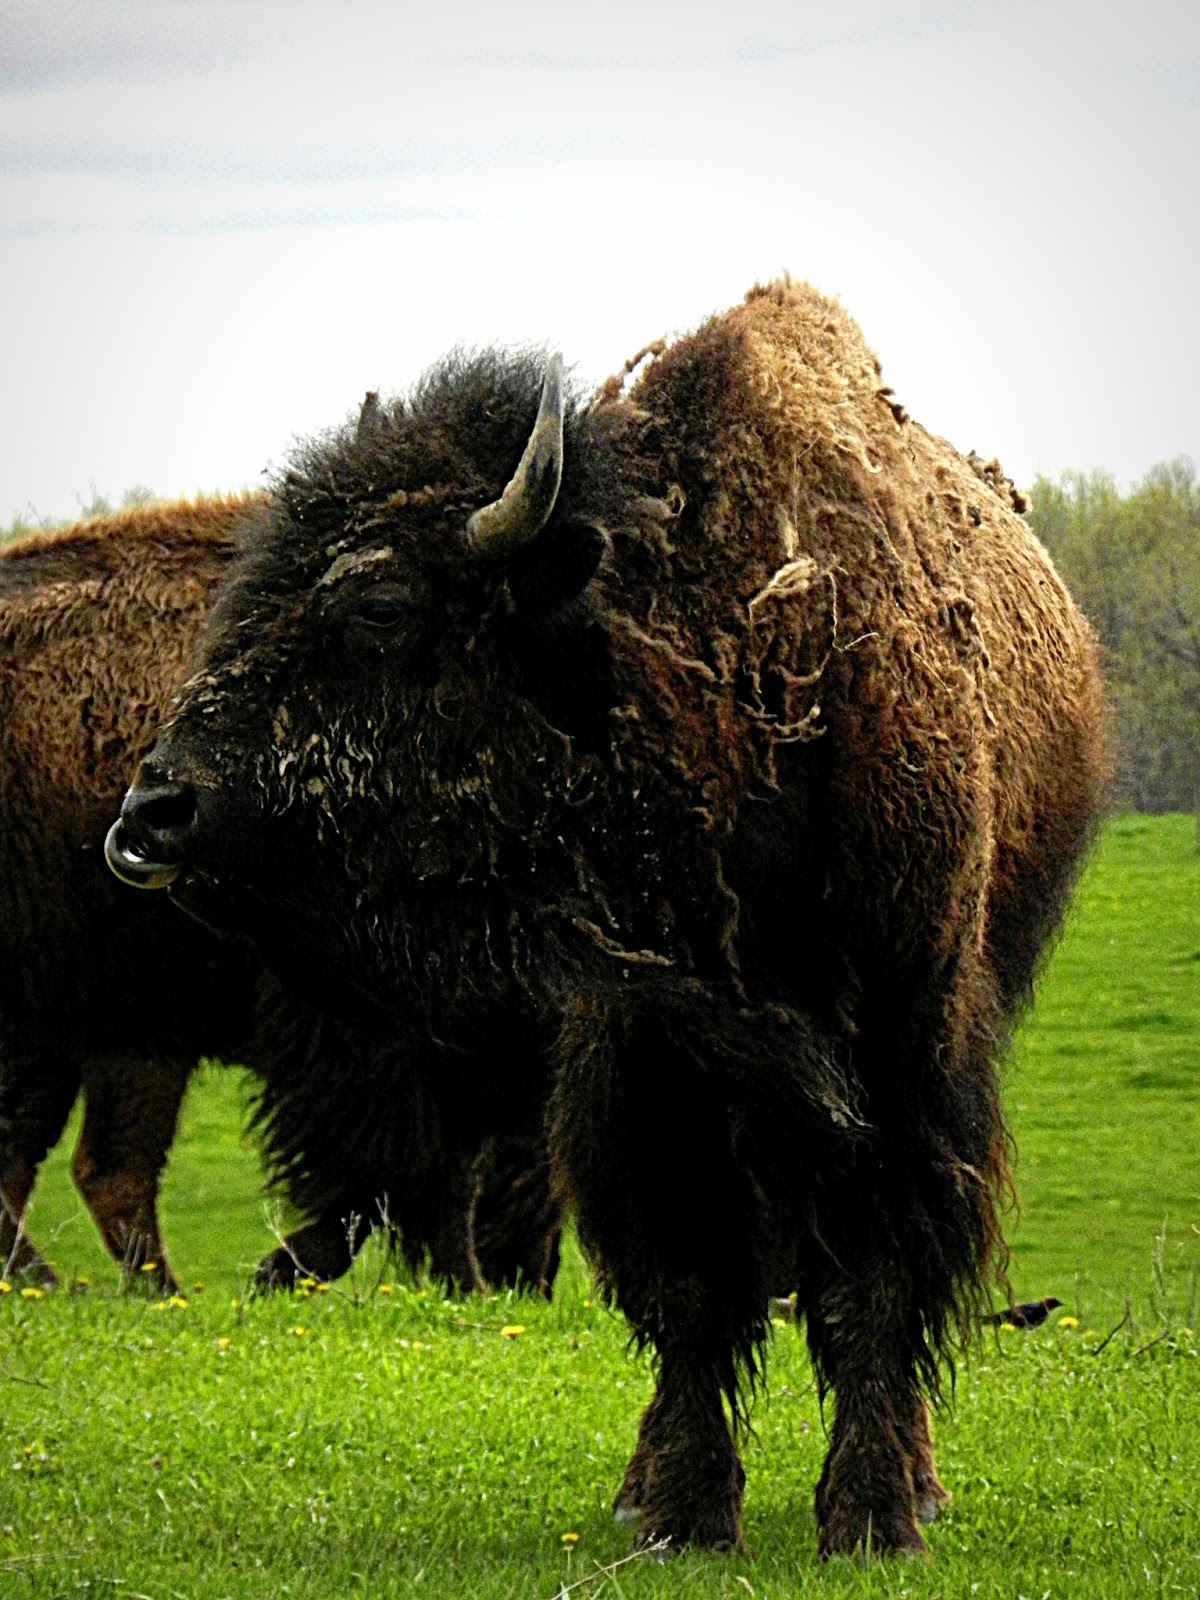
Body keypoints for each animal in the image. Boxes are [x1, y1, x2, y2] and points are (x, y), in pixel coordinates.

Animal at [110, 280, 1108, 1554]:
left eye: (380, 604)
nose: (153, 811)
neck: (723, 662)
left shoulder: (904, 1044)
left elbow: (874, 1277)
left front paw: (876, 1515)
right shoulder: (640, 1052)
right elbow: (691, 1286)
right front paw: (678, 1511)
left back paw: (917, 1483)